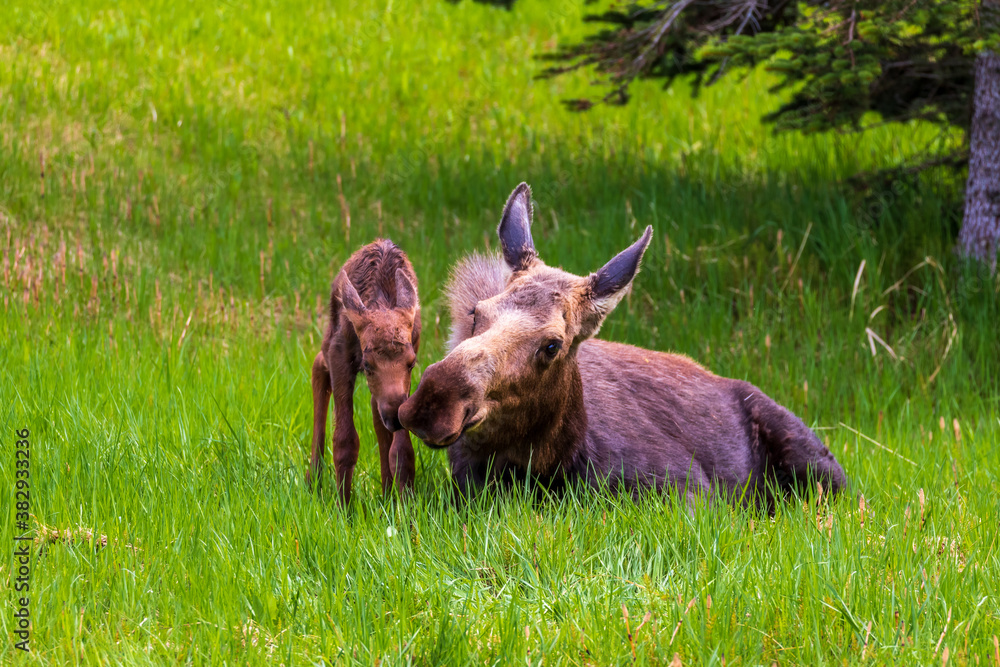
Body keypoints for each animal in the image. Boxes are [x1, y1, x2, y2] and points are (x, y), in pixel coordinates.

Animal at [308, 239, 420, 505]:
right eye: (368, 364)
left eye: (411, 363)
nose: (394, 415)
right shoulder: (340, 355)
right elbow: (345, 440)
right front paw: (343, 507)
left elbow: (402, 450)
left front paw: (406, 506)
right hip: (329, 341)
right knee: (318, 365)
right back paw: (313, 478)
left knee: (376, 413)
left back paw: (387, 494)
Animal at [398, 183, 846, 508]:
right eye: (476, 311)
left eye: (552, 346)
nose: (435, 400)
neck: (552, 463)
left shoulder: (690, 489)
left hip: (819, 465)